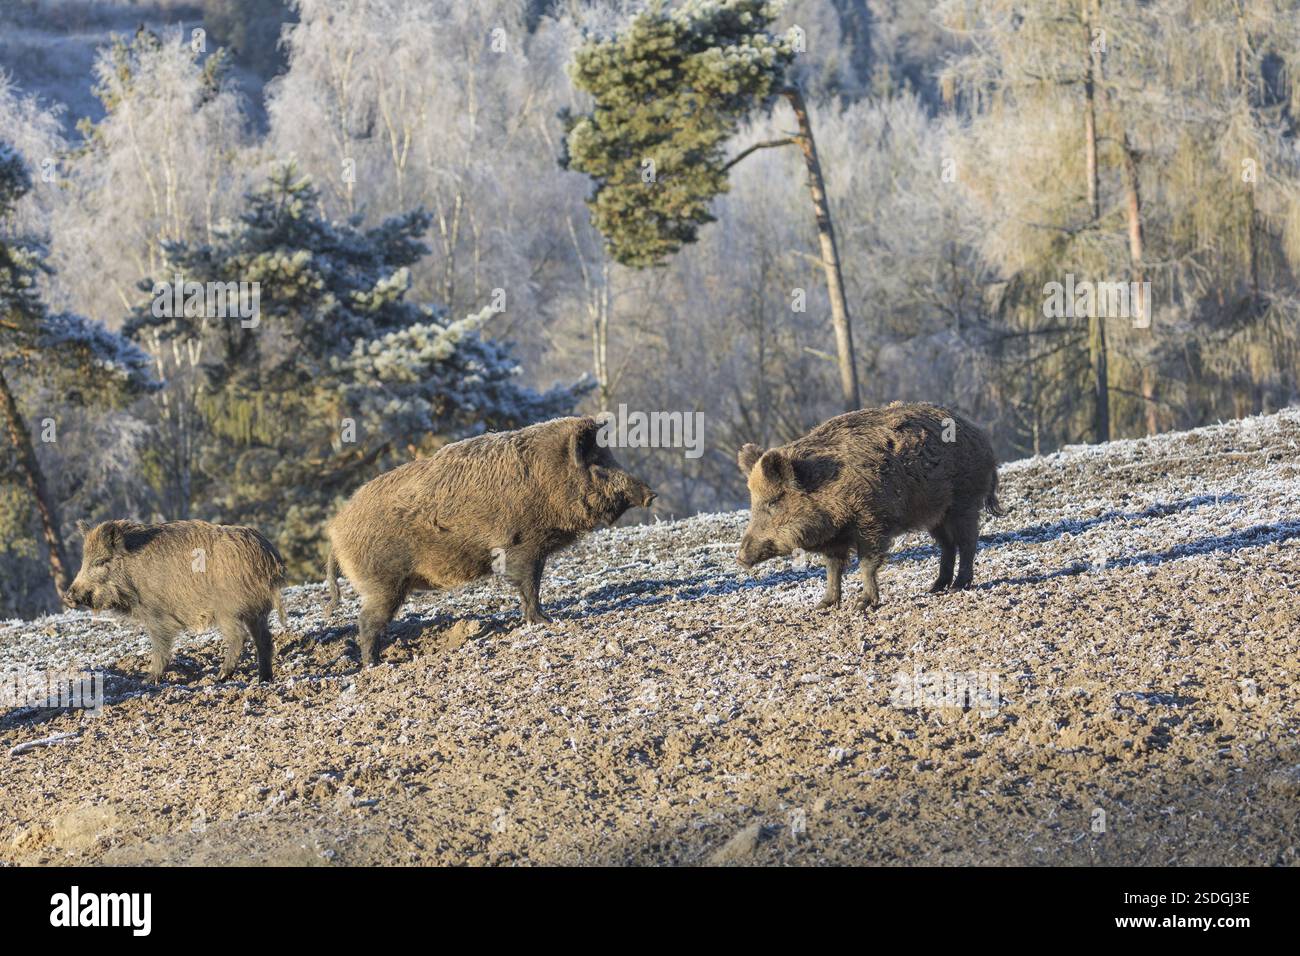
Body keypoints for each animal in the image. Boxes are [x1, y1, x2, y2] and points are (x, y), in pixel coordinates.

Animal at [63, 519, 288, 683]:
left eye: (100, 562)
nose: (68, 596)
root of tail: (269, 558)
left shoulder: (156, 613)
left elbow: (160, 645)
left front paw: (147, 681)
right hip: (256, 612)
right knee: (264, 640)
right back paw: (264, 680)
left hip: (229, 609)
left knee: (239, 637)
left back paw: (220, 677)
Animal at [323, 416, 656, 666]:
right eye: (598, 464)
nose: (651, 494)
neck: (548, 479)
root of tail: (335, 532)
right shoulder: (522, 546)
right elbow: (529, 585)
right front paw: (545, 621)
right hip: (383, 584)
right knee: (367, 622)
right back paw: (376, 664)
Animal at [736, 402, 1006, 612]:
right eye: (753, 503)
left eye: (773, 502)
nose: (740, 558)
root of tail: (983, 439)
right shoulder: (836, 537)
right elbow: (832, 569)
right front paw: (823, 605)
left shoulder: (871, 521)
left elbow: (866, 564)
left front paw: (862, 605)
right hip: (935, 515)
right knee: (948, 545)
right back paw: (935, 587)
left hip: (964, 503)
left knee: (968, 542)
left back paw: (958, 586)